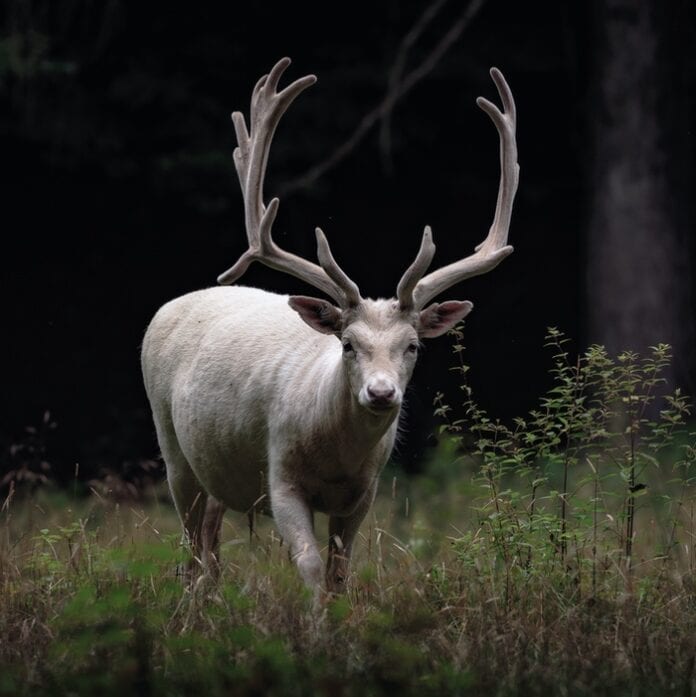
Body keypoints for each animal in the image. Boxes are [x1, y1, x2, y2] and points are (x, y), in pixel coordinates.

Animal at [141, 57, 519, 598]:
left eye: (412, 346)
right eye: (347, 344)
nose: (381, 392)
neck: (336, 461)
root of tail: (168, 308)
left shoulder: (366, 492)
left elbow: (341, 571)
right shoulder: (279, 475)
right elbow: (311, 567)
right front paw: (316, 619)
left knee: (209, 548)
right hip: (171, 448)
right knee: (191, 549)